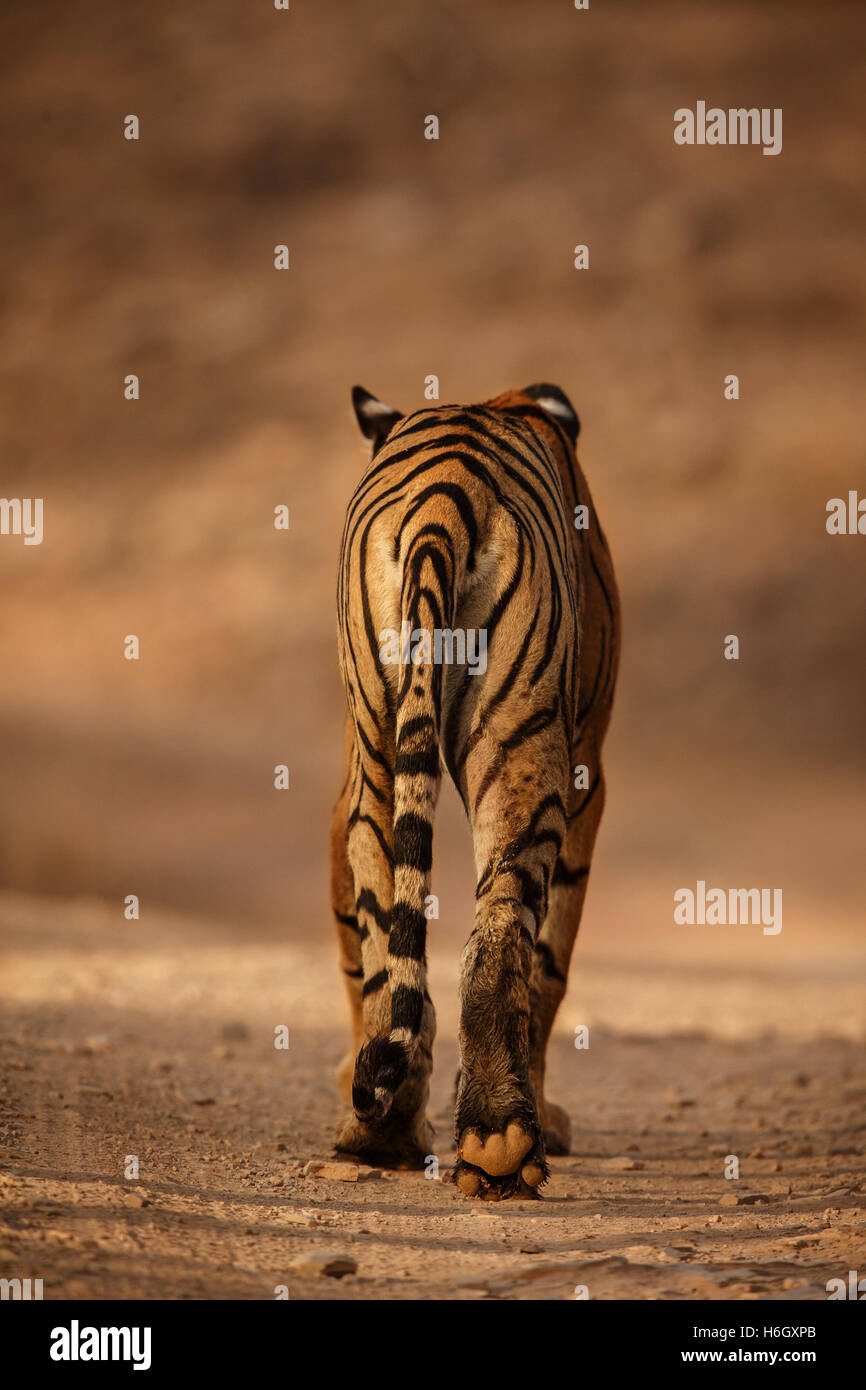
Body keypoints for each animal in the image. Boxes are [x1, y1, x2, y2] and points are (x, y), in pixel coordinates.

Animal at [330, 382, 620, 1199]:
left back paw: (393, 1131)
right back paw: (501, 1138)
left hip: (381, 758)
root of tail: (444, 490)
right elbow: (551, 963)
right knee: (499, 935)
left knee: (393, 951)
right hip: (525, 749)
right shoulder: (587, 780)